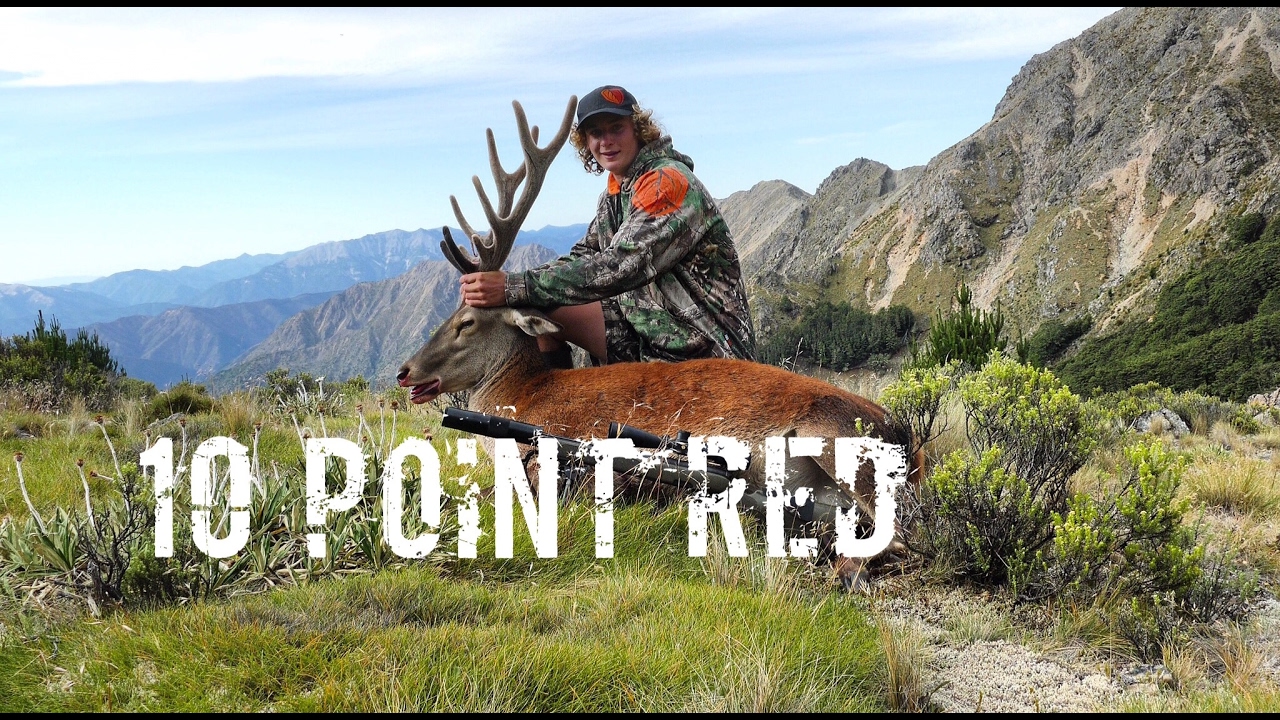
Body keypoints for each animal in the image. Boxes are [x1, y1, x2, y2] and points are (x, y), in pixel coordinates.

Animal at [396, 96, 923, 590]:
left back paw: (839, 568)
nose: (406, 371)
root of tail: (909, 442)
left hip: (840, 442)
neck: (523, 399)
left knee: (902, 535)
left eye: (465, 322)